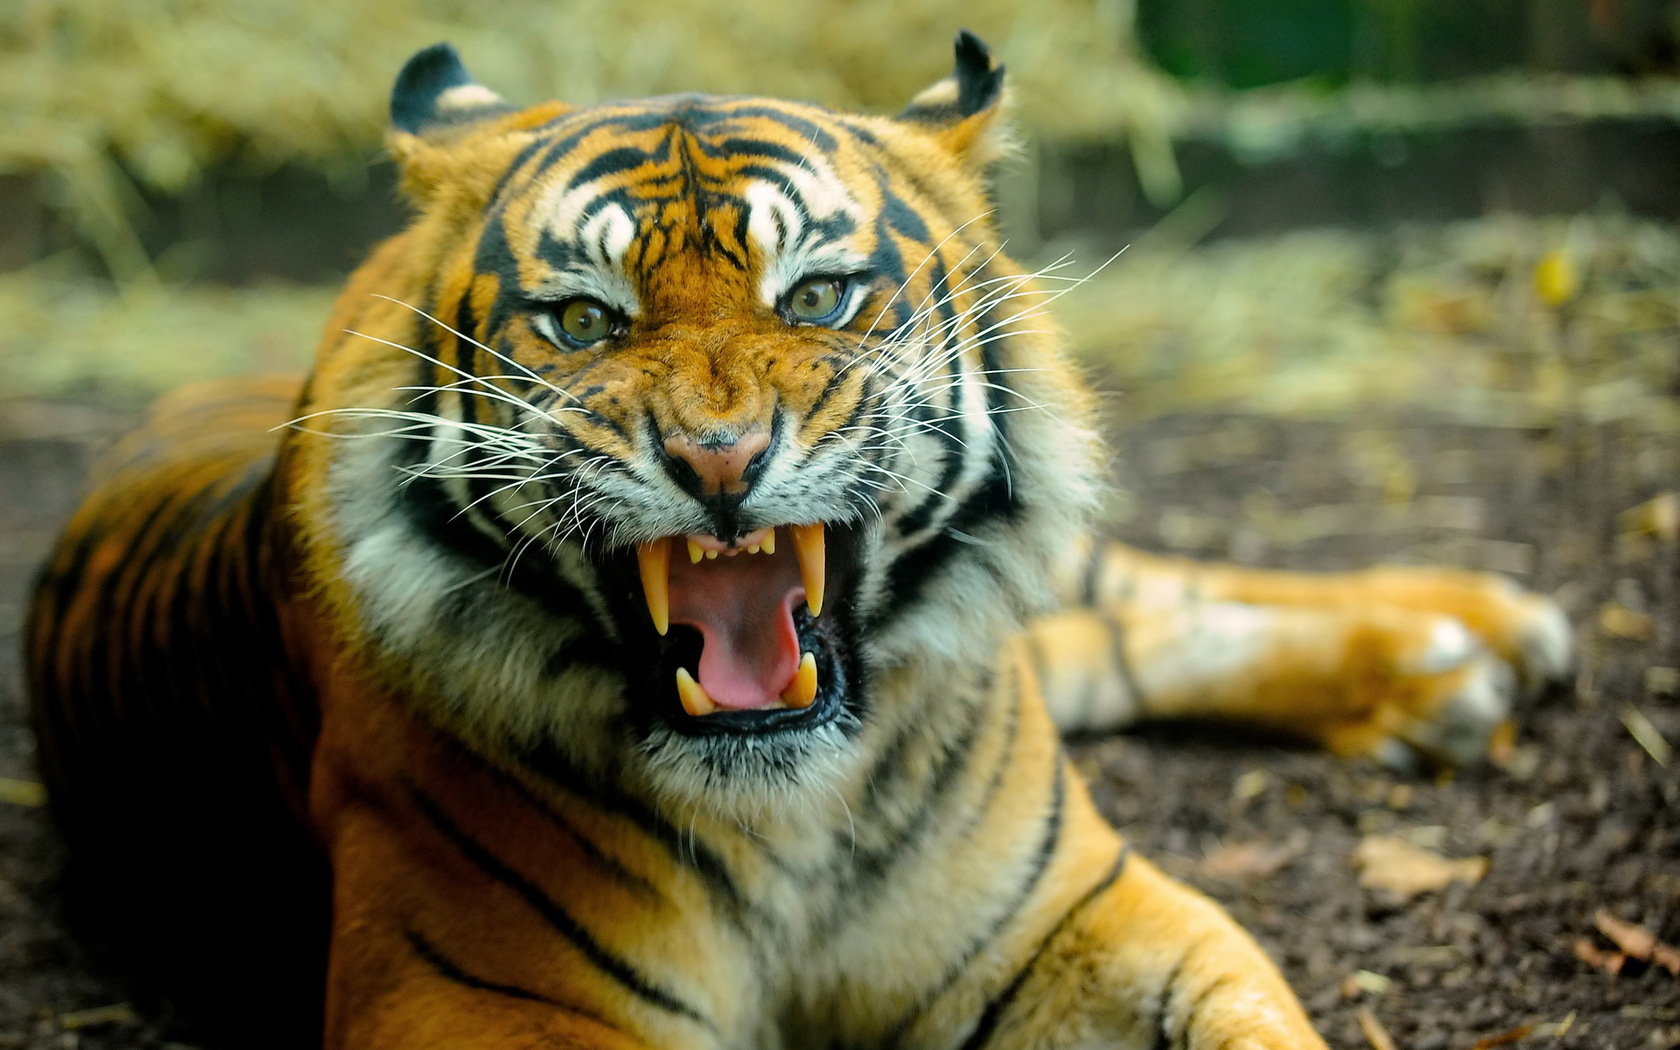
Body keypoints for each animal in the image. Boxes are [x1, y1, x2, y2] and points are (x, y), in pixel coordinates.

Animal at [26, 32, 1571, 1050]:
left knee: (1147, 594)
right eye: (583, 320)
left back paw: (1482, 630)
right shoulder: (475, 1001)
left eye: (819, 294)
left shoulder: (1086, 914)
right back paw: (1451, 673)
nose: (718, 462)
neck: (796, 818)